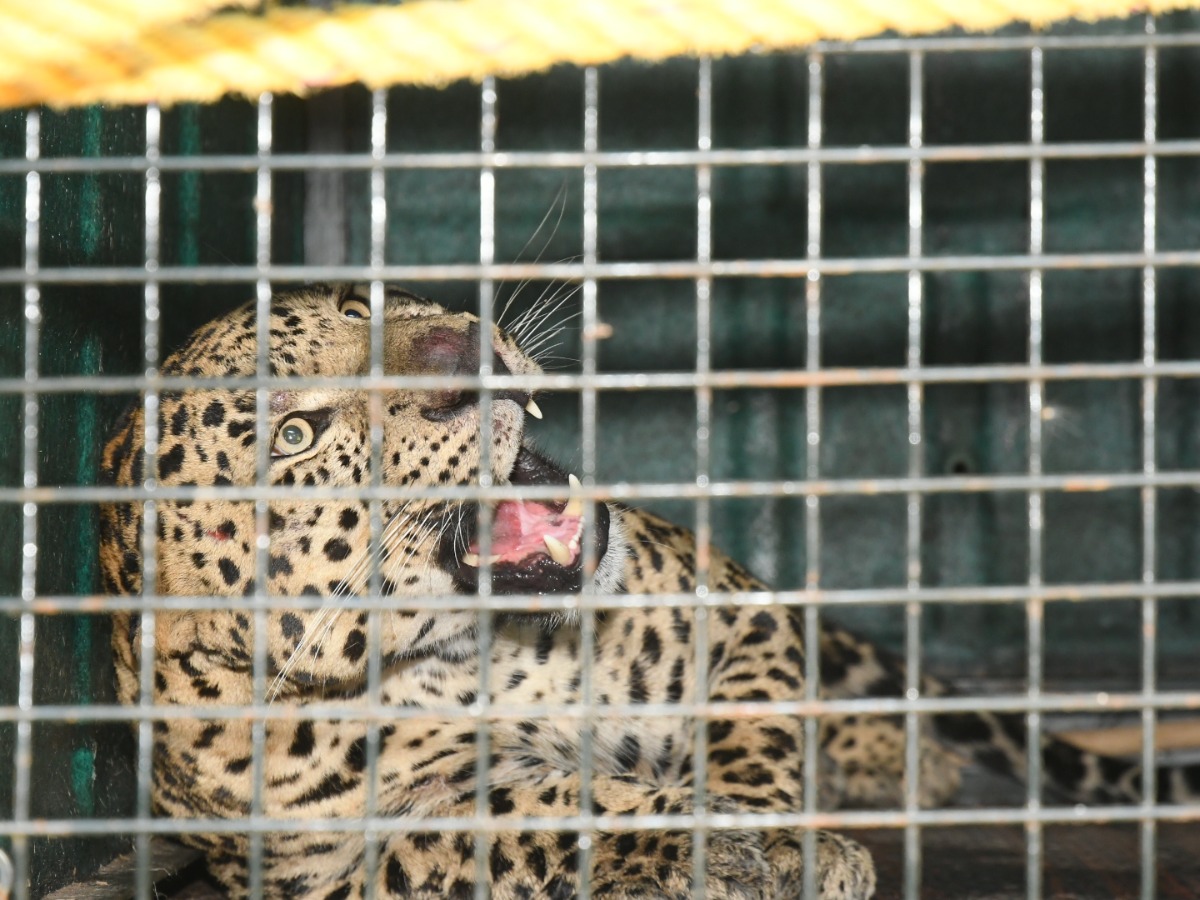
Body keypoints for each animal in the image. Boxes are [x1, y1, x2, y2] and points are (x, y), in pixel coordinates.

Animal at [99, 284, 1199, 898]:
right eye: (298, 434)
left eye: (362, 308)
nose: (464, 349)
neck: (484, 653)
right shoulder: (346, 866)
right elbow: (533, 815)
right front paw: (711, 849)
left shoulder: (736, 609)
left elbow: (751, 733)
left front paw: (772, 840)